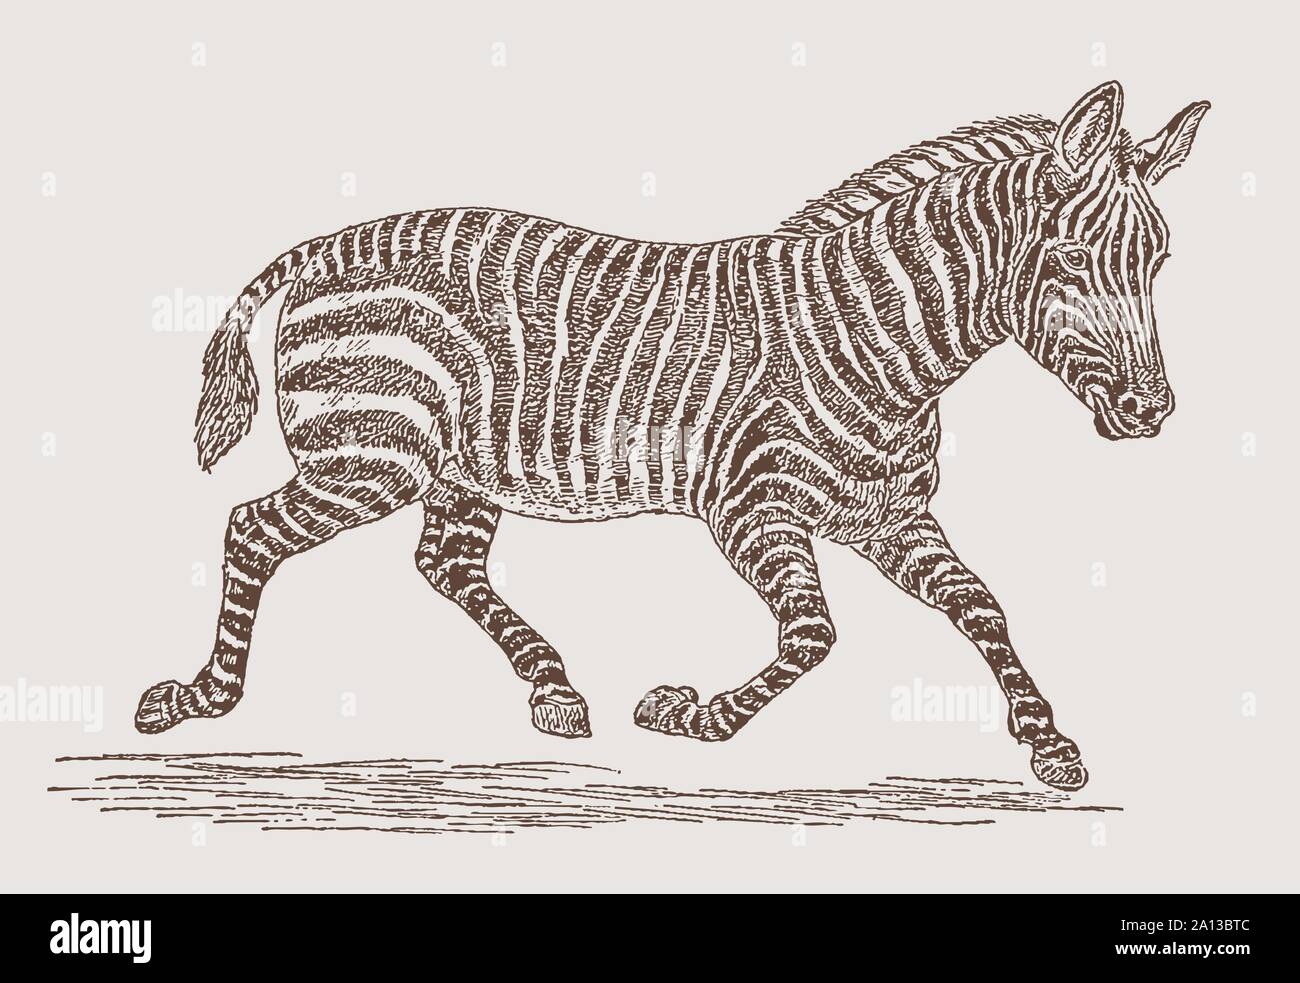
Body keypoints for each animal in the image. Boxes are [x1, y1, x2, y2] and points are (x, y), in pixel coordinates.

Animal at [136, 81, 1207, 791]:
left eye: (1157, 262)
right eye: (1070, 261)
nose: (1150, 414)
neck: (882, 338)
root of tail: (319, 247)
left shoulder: (888, 518)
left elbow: (984, 607)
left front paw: (1049, 742)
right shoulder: (752, 510)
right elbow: (815, 635)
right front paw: (693, 717)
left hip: (458, 466)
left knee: (445, 564)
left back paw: (555, 688)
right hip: (369, 453)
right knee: (252, 529)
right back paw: (200, 698)